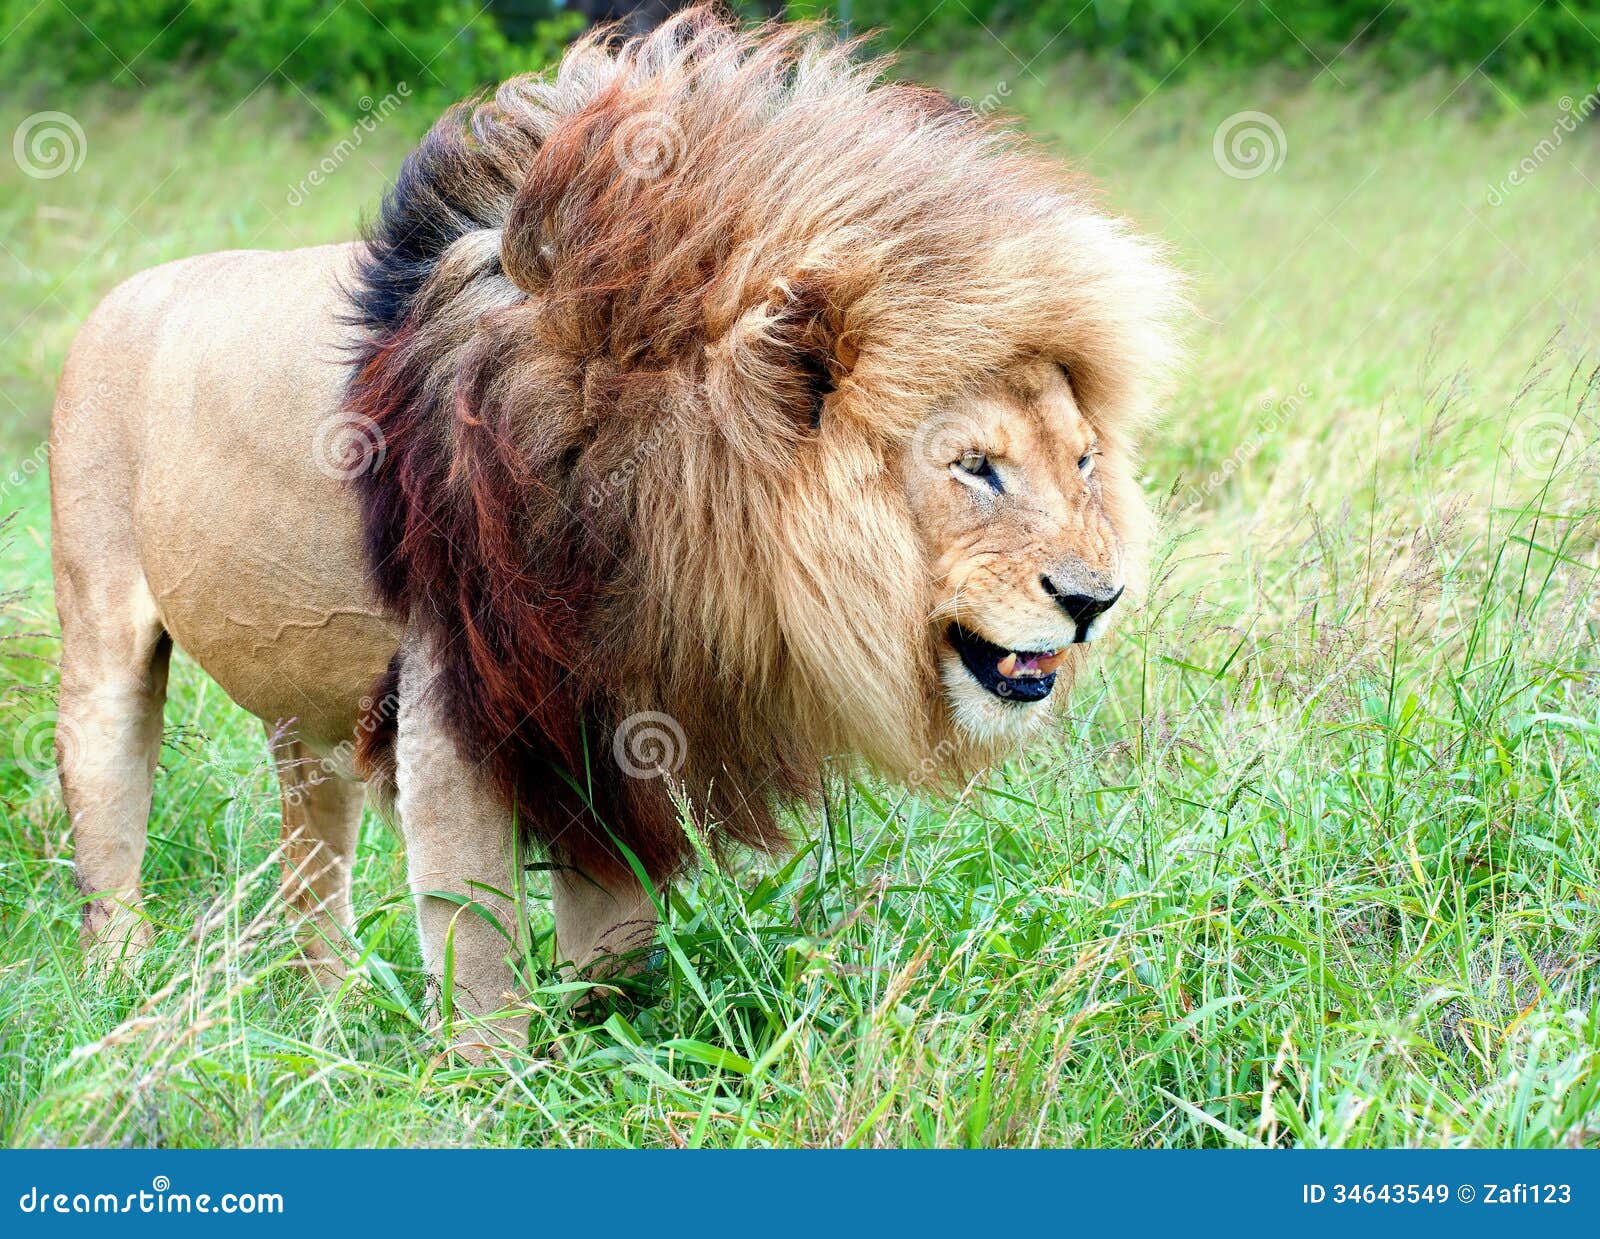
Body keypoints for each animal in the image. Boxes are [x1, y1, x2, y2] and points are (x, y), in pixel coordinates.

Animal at [49, 7, 1180, 1047]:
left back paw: (325, 1023)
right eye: (974, 468)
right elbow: (478, 946)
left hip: (305, 725)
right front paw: (490, 1088)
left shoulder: (621, 713)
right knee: (110, 844)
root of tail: (120, 293)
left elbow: (615, 941)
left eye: (1083, 462)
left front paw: (611, 1052)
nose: (1096, 600)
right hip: (100, 651)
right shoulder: (454, 698)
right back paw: (121, 1002)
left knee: (308, 869)